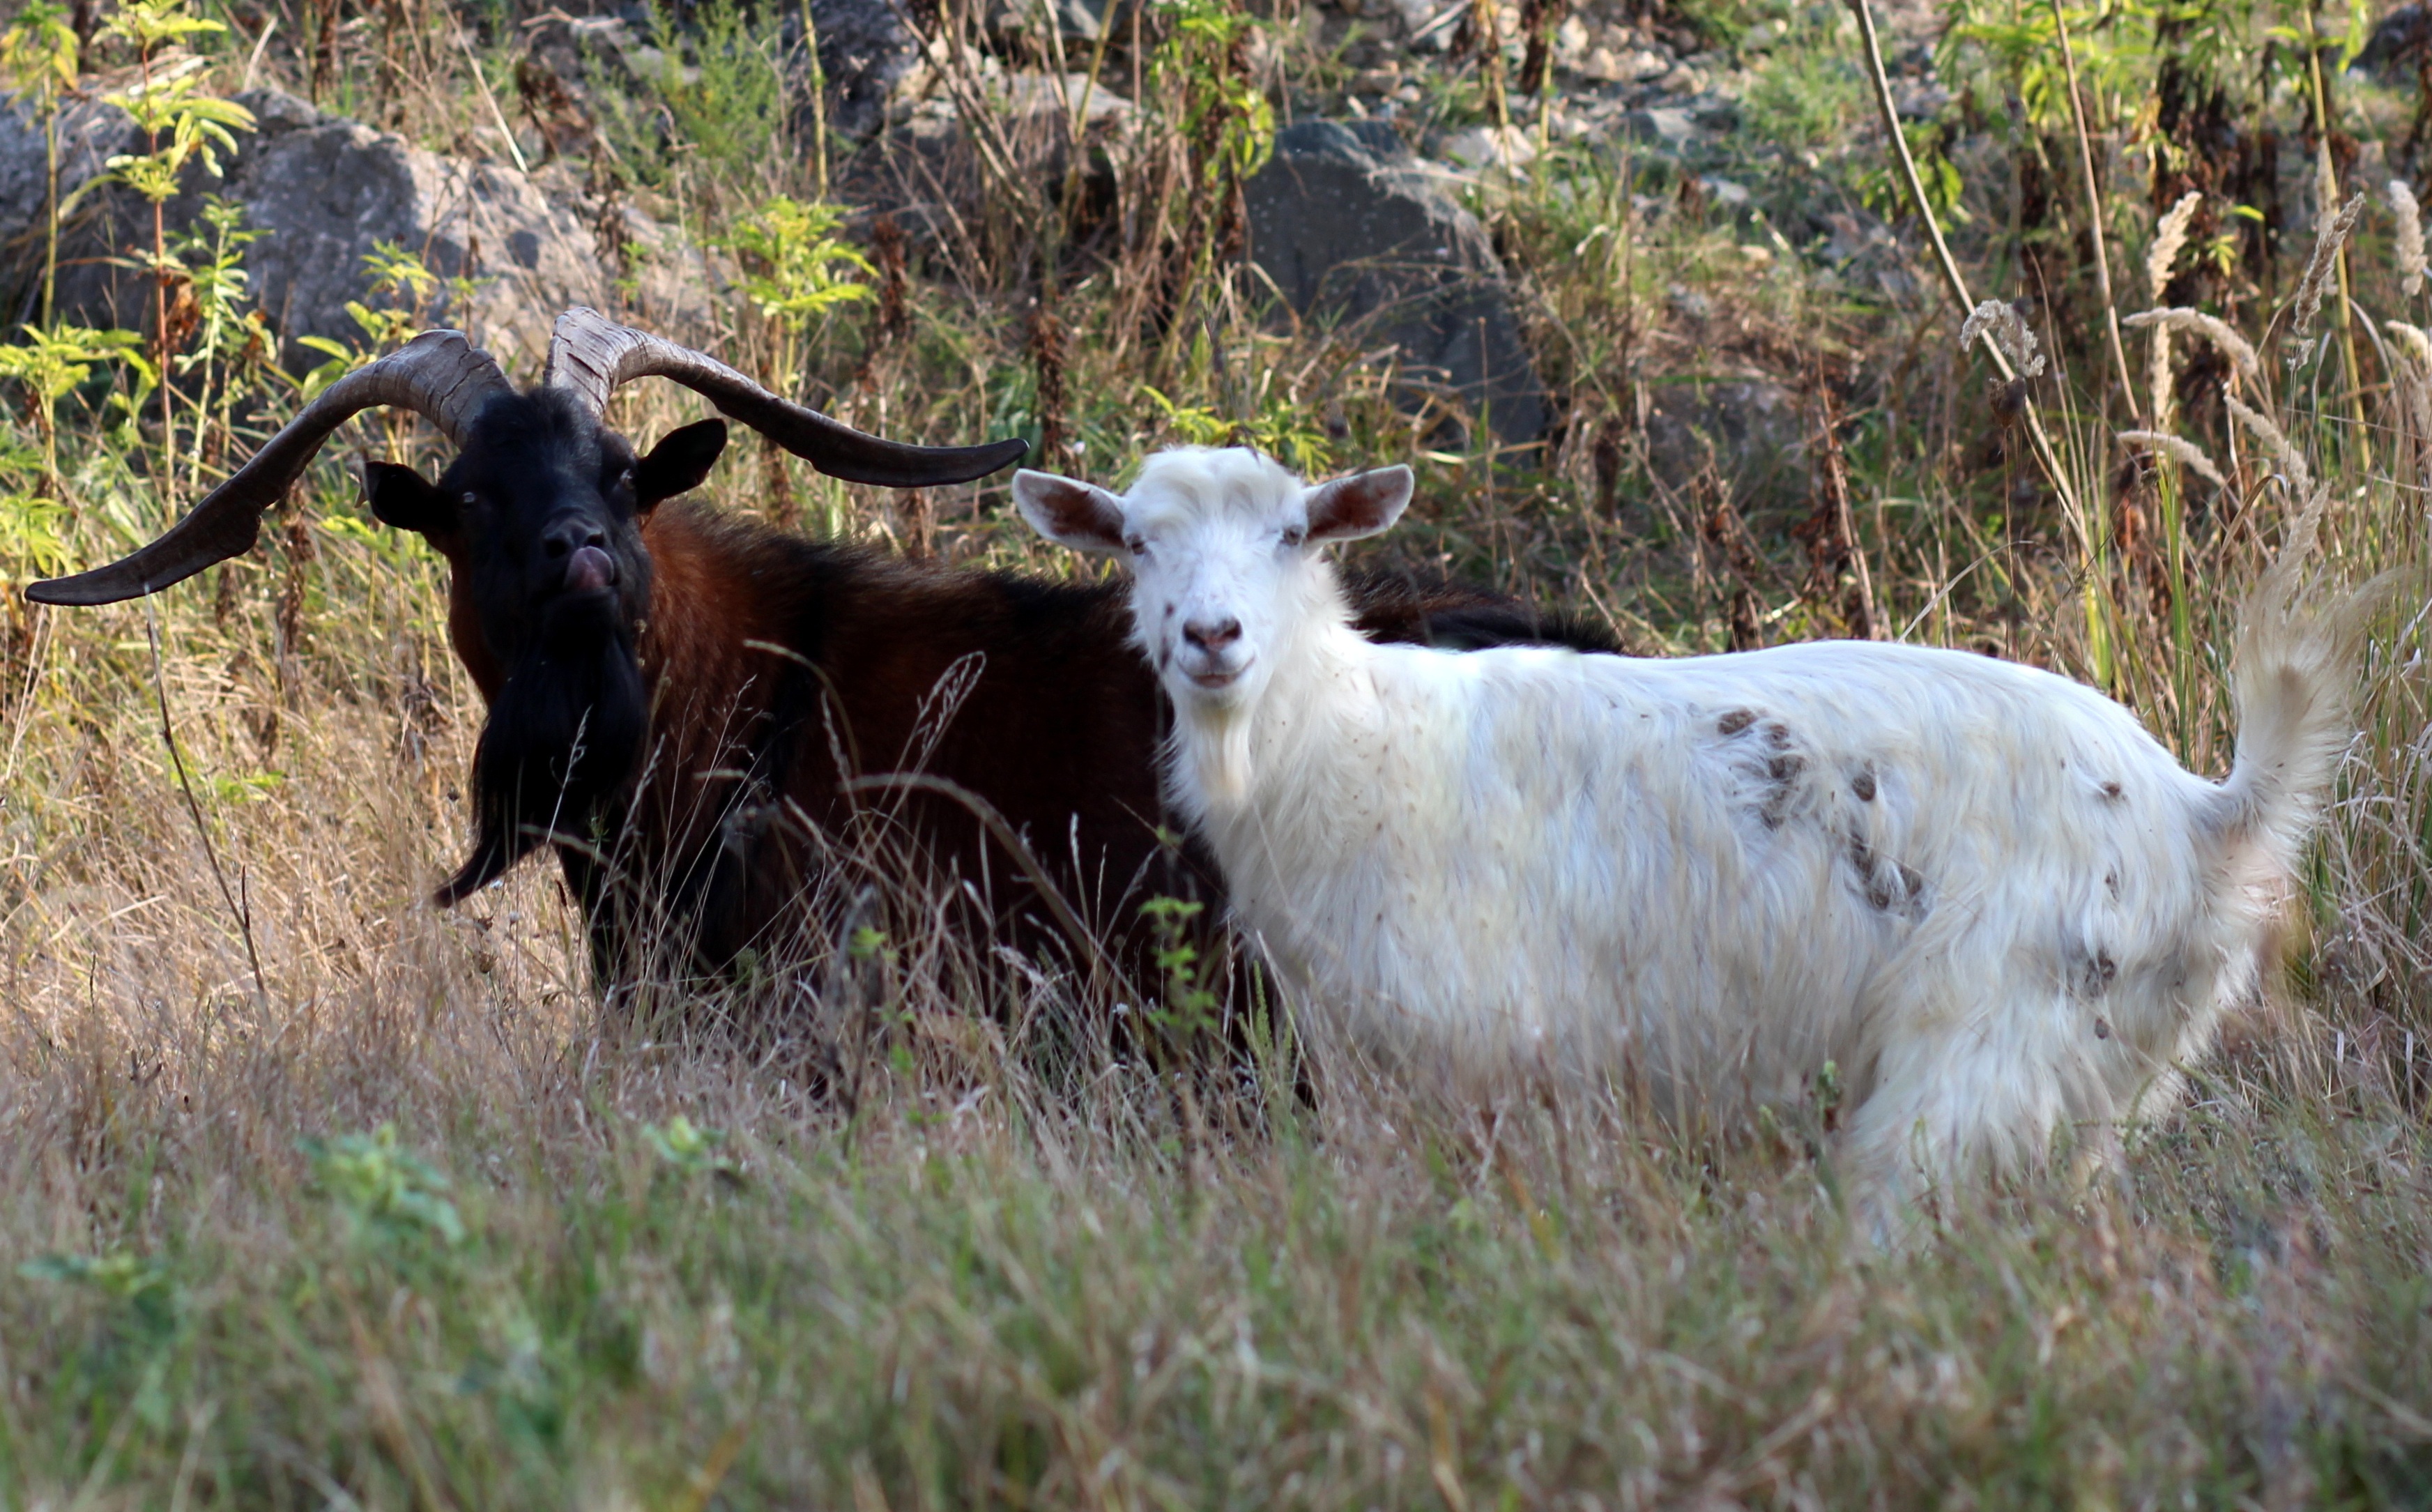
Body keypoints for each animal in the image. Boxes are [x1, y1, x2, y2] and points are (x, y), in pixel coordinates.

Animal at [1015, 445, 2369, 1219]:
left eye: (1294, 532)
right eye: (1135, 540)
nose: (1212, 636)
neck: (1352, 742)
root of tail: (2203, 809)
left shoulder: (1508, 1057)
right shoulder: (1365, 1070)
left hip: (1984, 1042)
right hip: (2101, 1076)